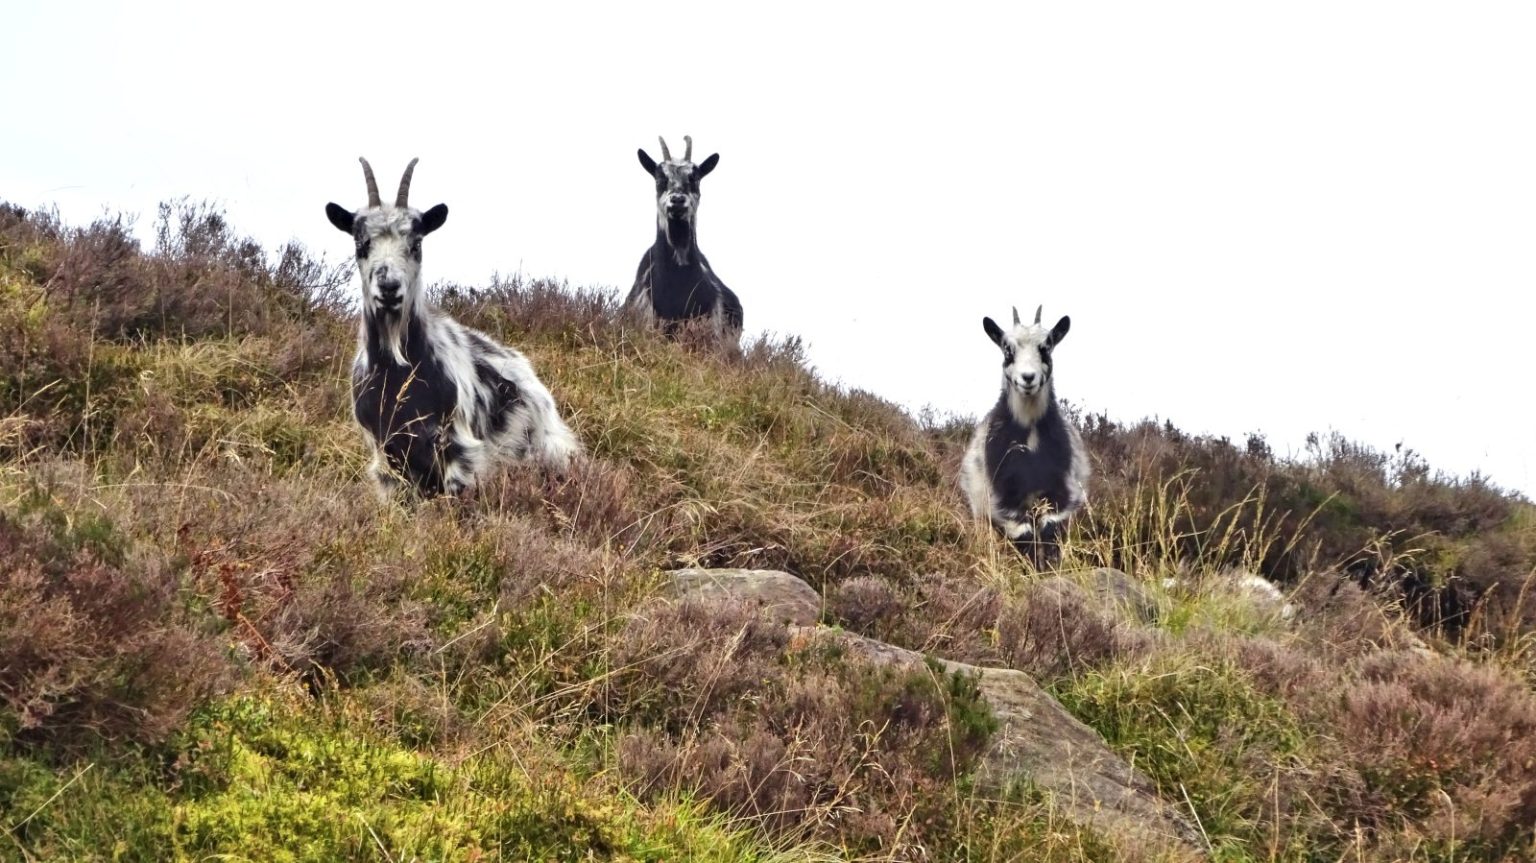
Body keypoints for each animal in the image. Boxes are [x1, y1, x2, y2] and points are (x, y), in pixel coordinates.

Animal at [325, 157, 579, 498]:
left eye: (416, 243)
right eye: (361, 242)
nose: (389, 288)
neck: (398, 374)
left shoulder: (461, 452)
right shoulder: (387, 459)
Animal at [960, 305, 1090, 566]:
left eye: (1046, 346)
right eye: (1007, 349)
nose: (1027, 378)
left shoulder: (1061, 490)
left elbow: (1050, 534)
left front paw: (1050, 571)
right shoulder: (1004, 497)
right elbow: (1025, 537)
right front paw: (1033, 571)